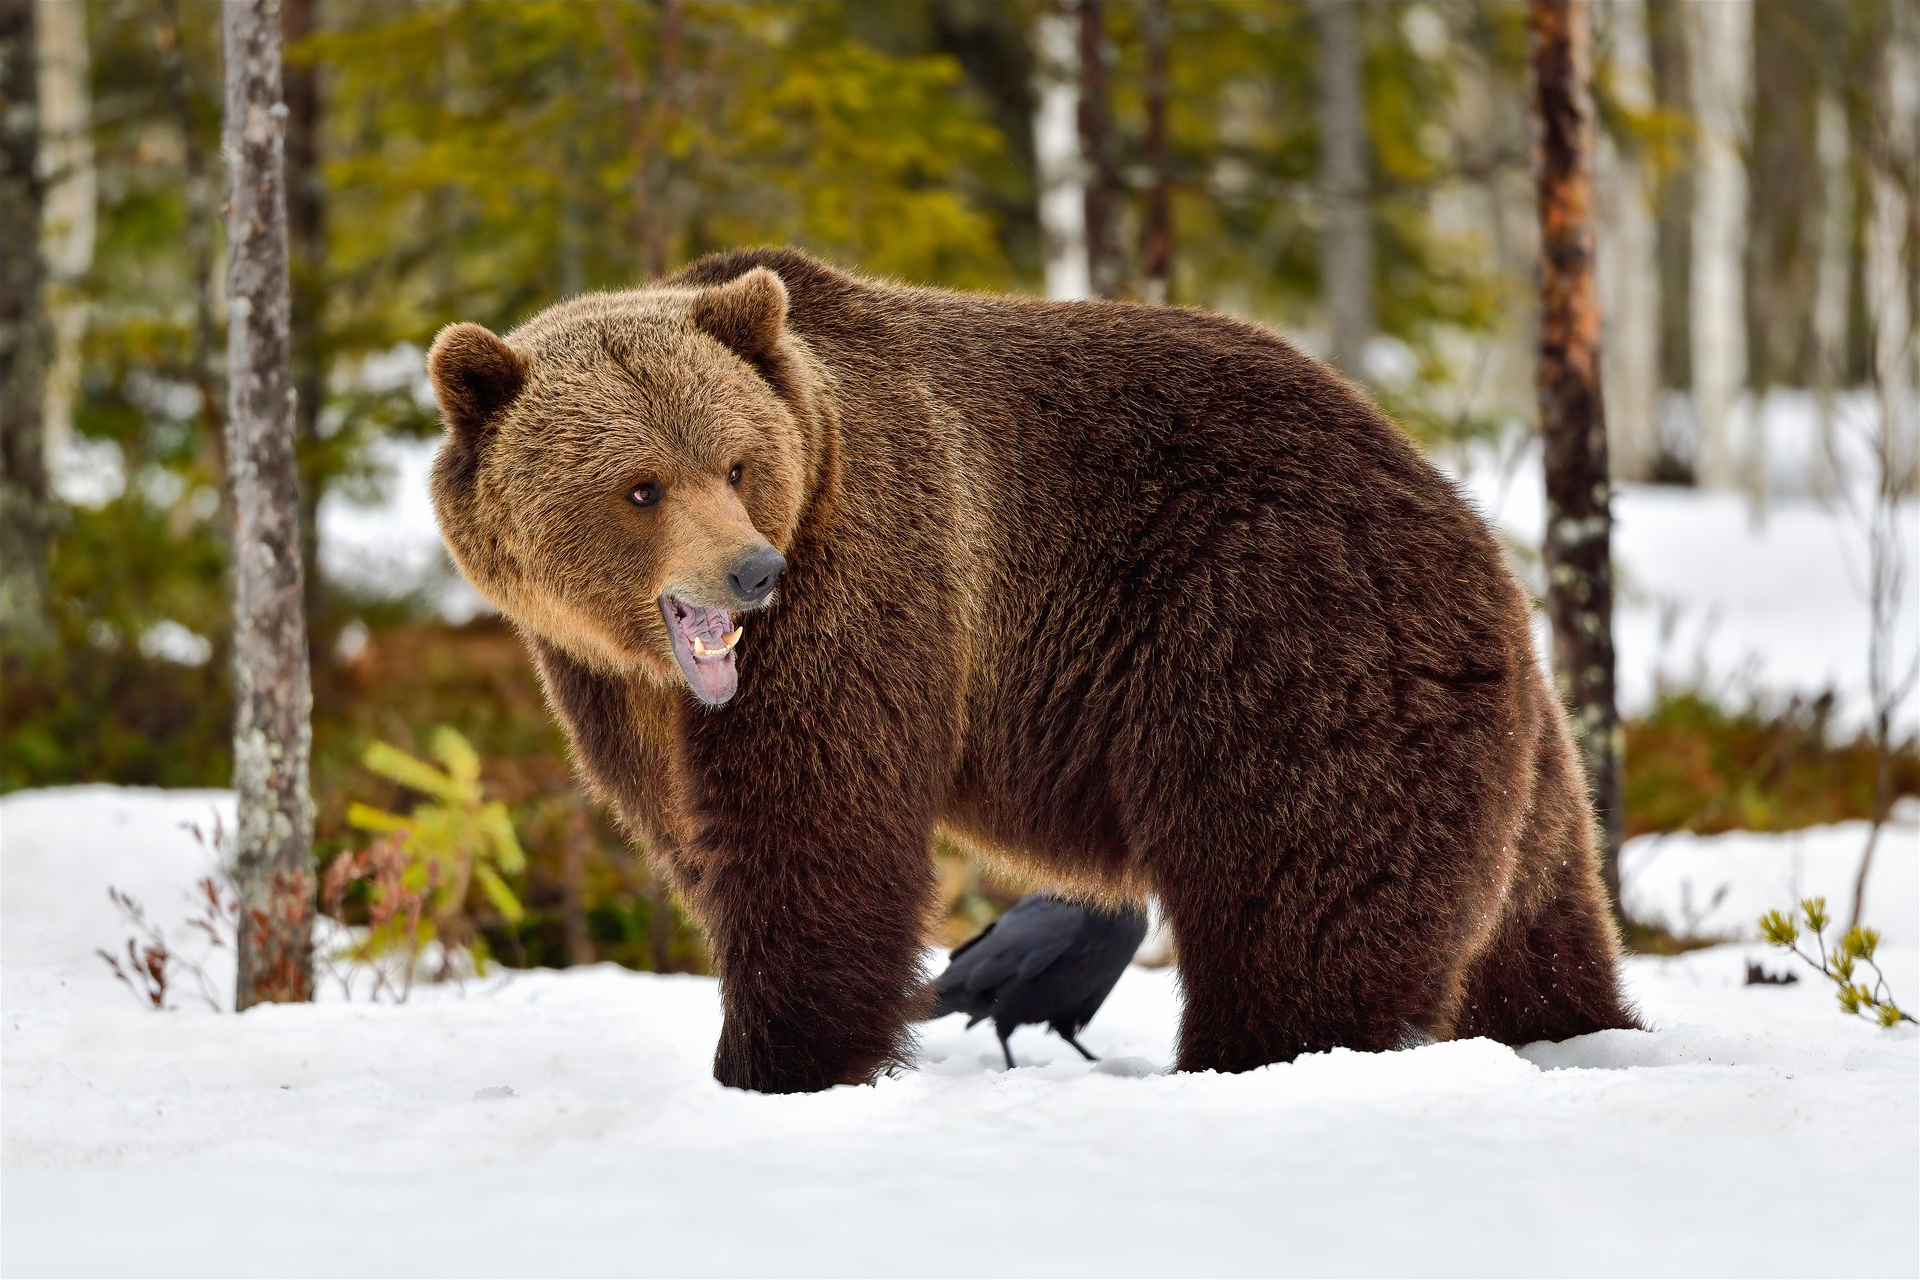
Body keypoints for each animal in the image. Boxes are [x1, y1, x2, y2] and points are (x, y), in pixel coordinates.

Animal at [427, 246, 1639, 1094]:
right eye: (640, 486)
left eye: (735, 462)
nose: (751, 572)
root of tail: (1473, 529)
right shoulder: (607, 690)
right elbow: (701, 839)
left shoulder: (869, 584)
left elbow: (814, 836)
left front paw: (782, 1063)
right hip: (1509, 746)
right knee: (1533, 912)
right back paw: (1579, 1025)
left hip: (1282, 637)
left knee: (1302, 900)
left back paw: (1260, 1057)